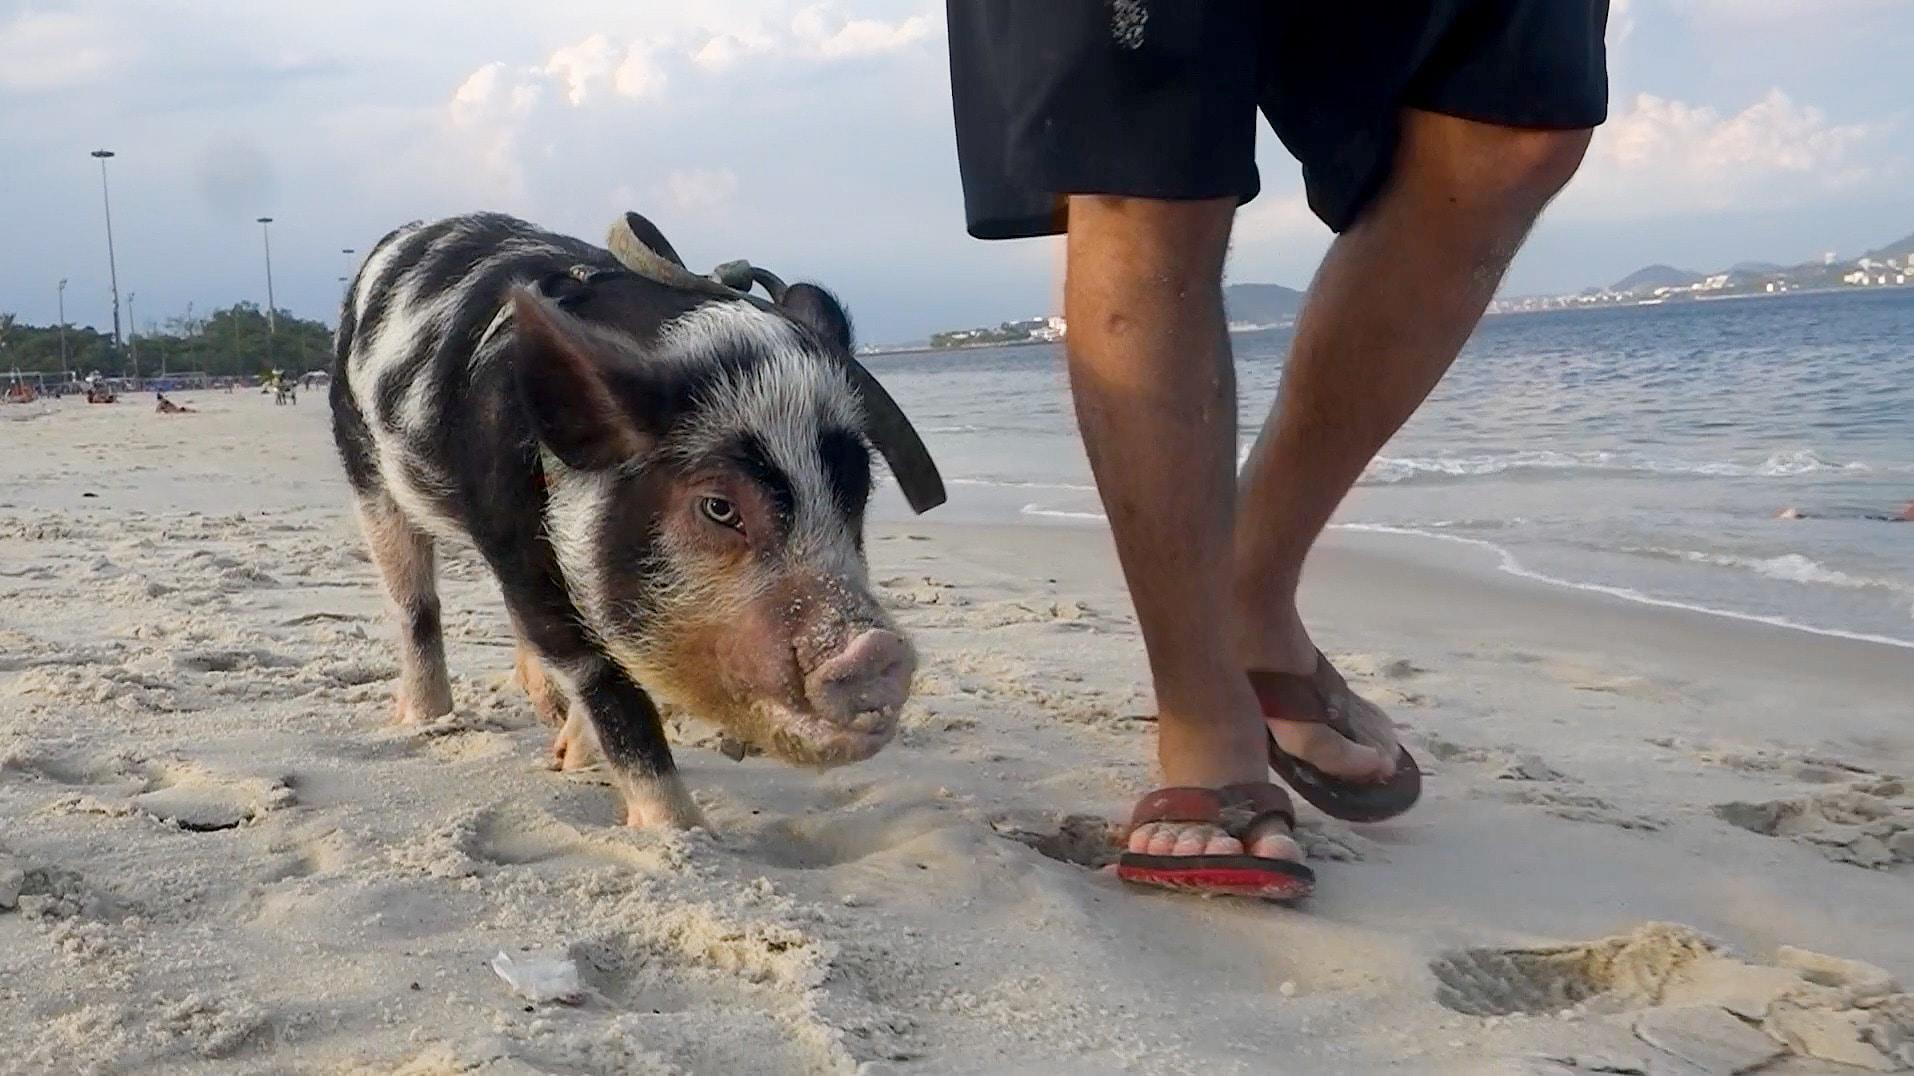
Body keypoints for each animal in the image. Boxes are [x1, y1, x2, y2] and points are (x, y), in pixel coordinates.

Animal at [330, 212, 944, 827]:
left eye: (856, 494)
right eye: (719, 506)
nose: (876, 650)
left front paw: (570, 762)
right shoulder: (518, 550)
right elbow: (610, 688)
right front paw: (680, 830)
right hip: (363, 462)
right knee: (415, 602)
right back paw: (426, 719)